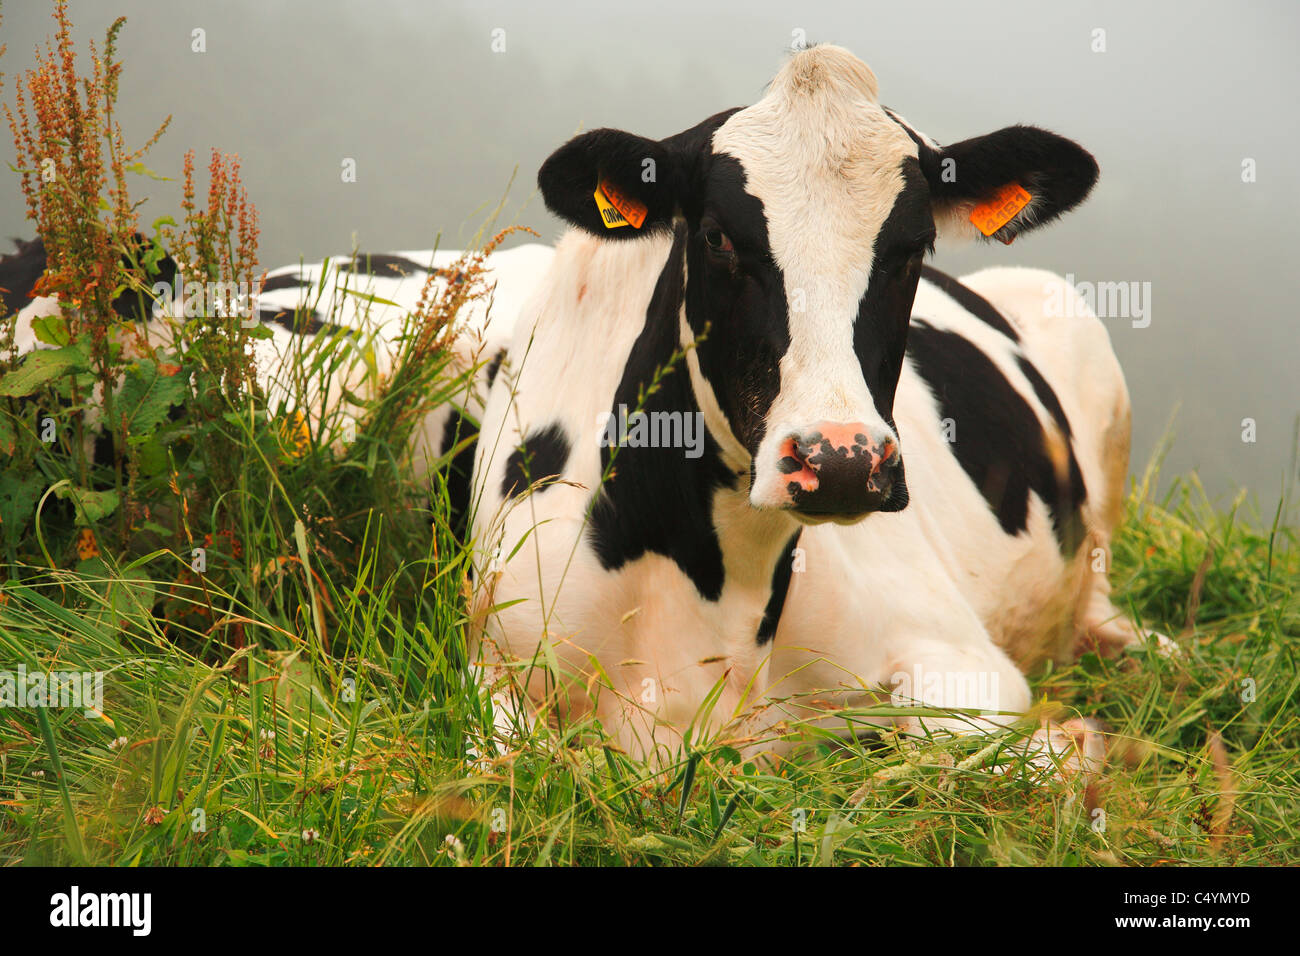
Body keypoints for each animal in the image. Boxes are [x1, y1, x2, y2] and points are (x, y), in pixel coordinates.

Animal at [468, 45, 1167, 773]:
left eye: (913, 247)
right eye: (716, 237)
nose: (840, 462)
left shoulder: (963, 655)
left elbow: (949, 743)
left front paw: (1073, 743)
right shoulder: (492, 661)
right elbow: (500, 755)